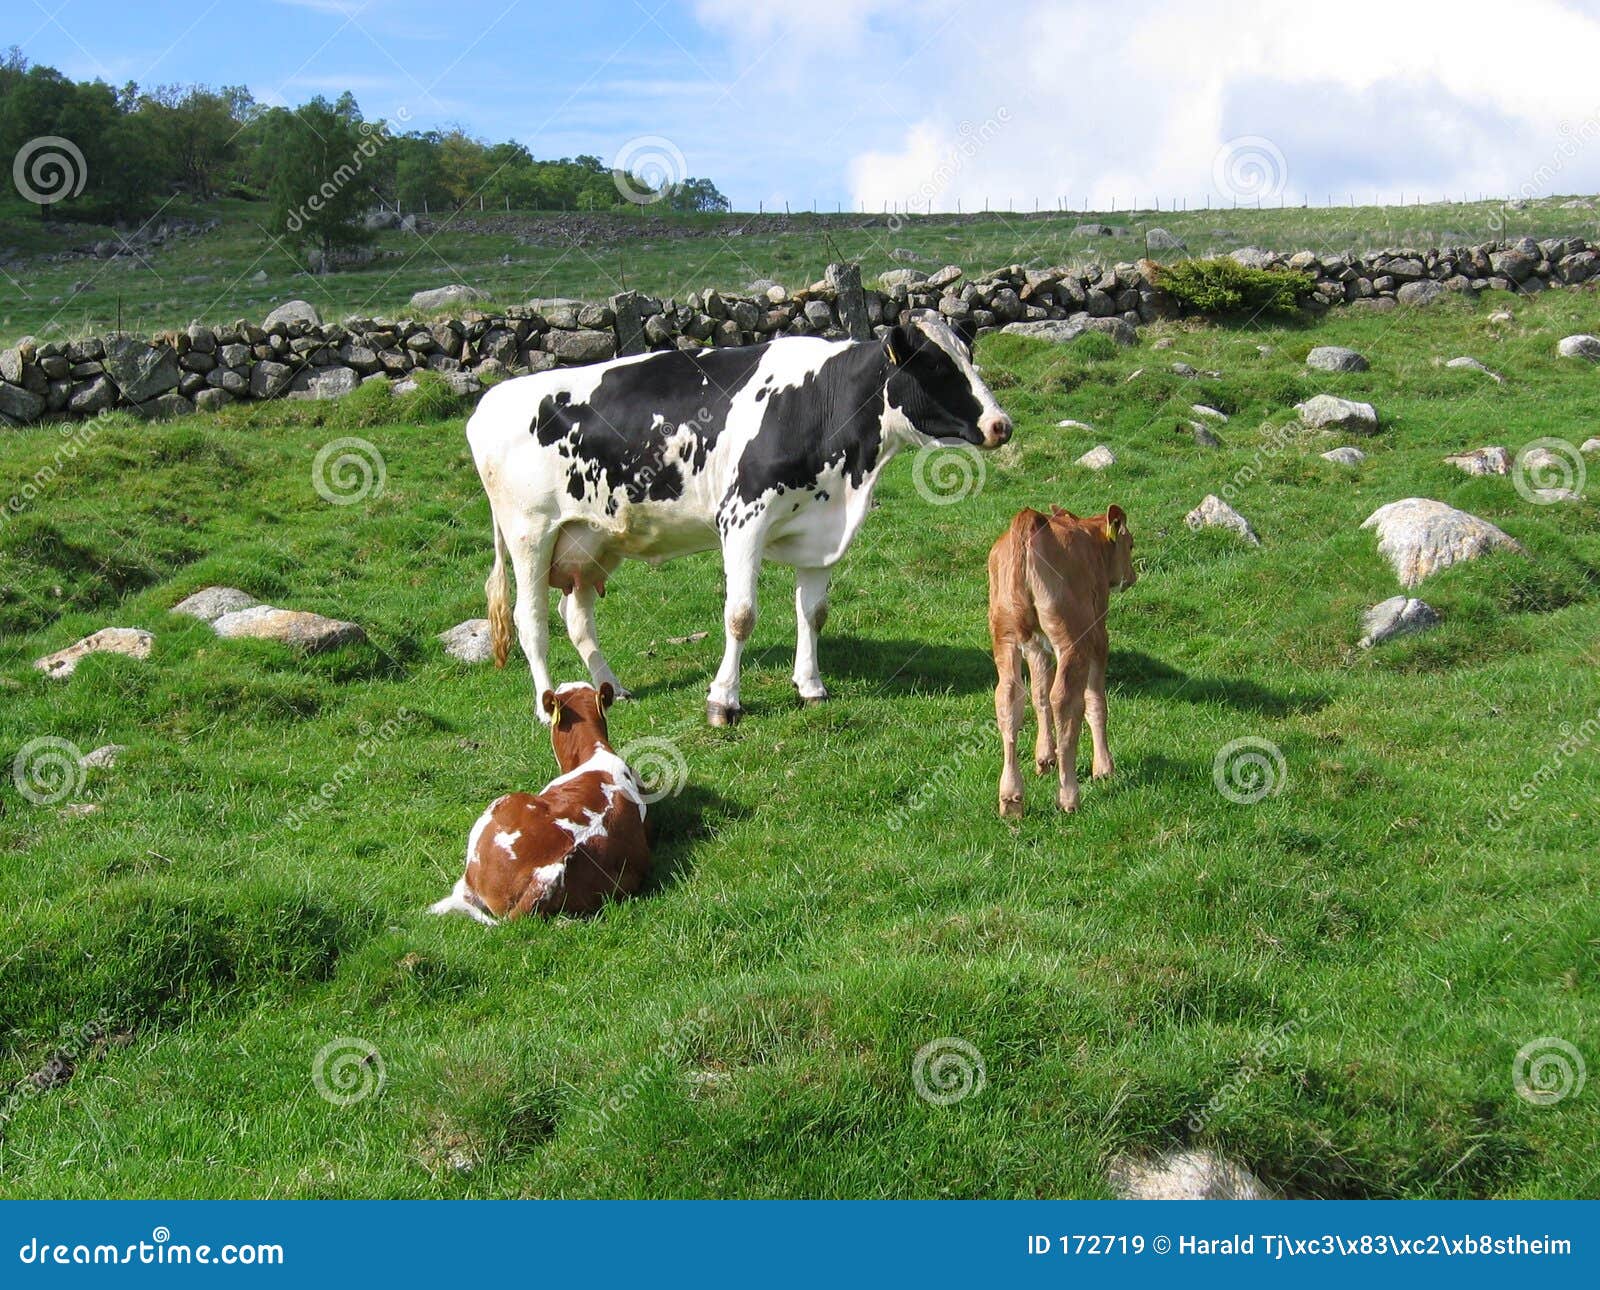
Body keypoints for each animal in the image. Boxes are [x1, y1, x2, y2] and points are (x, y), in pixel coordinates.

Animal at [466, 313, 1012, 726]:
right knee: (531, 620)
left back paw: (611, 690)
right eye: (935, 366)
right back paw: (547, 707)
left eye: (969, 357)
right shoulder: (742, 518)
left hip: (594, 539)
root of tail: (489, 401)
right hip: (530, 532)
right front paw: (723, 700)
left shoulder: (822, 530)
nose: (1000, 424)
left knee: (576, 617)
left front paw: (811, 686)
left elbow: (813, 612)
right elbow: (741, 614)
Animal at [987, 505, 1137, 819]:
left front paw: (1045, 757)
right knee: (1065, 700)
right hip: (1071, 636)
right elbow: (1095, 701)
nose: (1131, 577)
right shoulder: (1098, 633)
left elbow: (1039, 693)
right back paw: (1069, 796)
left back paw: (1011, 798)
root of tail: (1029, 520)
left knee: (1009, 698)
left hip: (1005, 634)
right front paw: (1104, 767)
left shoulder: (1036, 645)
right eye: (1130, 544)